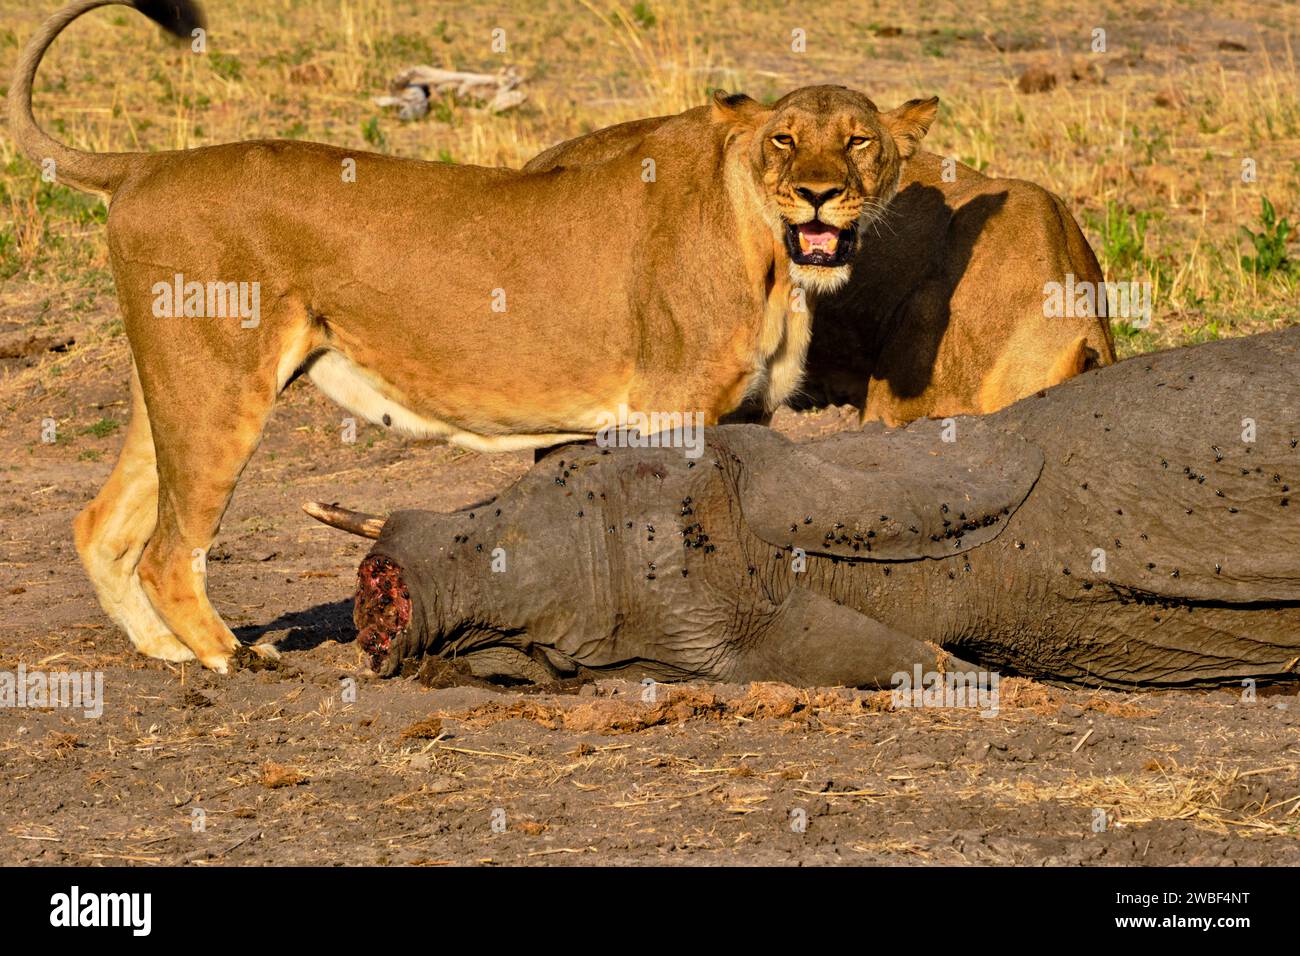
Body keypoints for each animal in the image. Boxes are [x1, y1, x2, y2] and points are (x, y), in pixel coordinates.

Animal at [10, 0, 938, 671]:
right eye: (784, 139)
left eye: (859, 142)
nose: (818, 194)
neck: (773, 253)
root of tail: (145, 163)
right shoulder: (671, 409)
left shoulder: (744, 417)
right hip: (219, 390)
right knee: (169, 550)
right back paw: (231, 657)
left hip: (174, 384)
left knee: (102, 524)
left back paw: (165, 653)